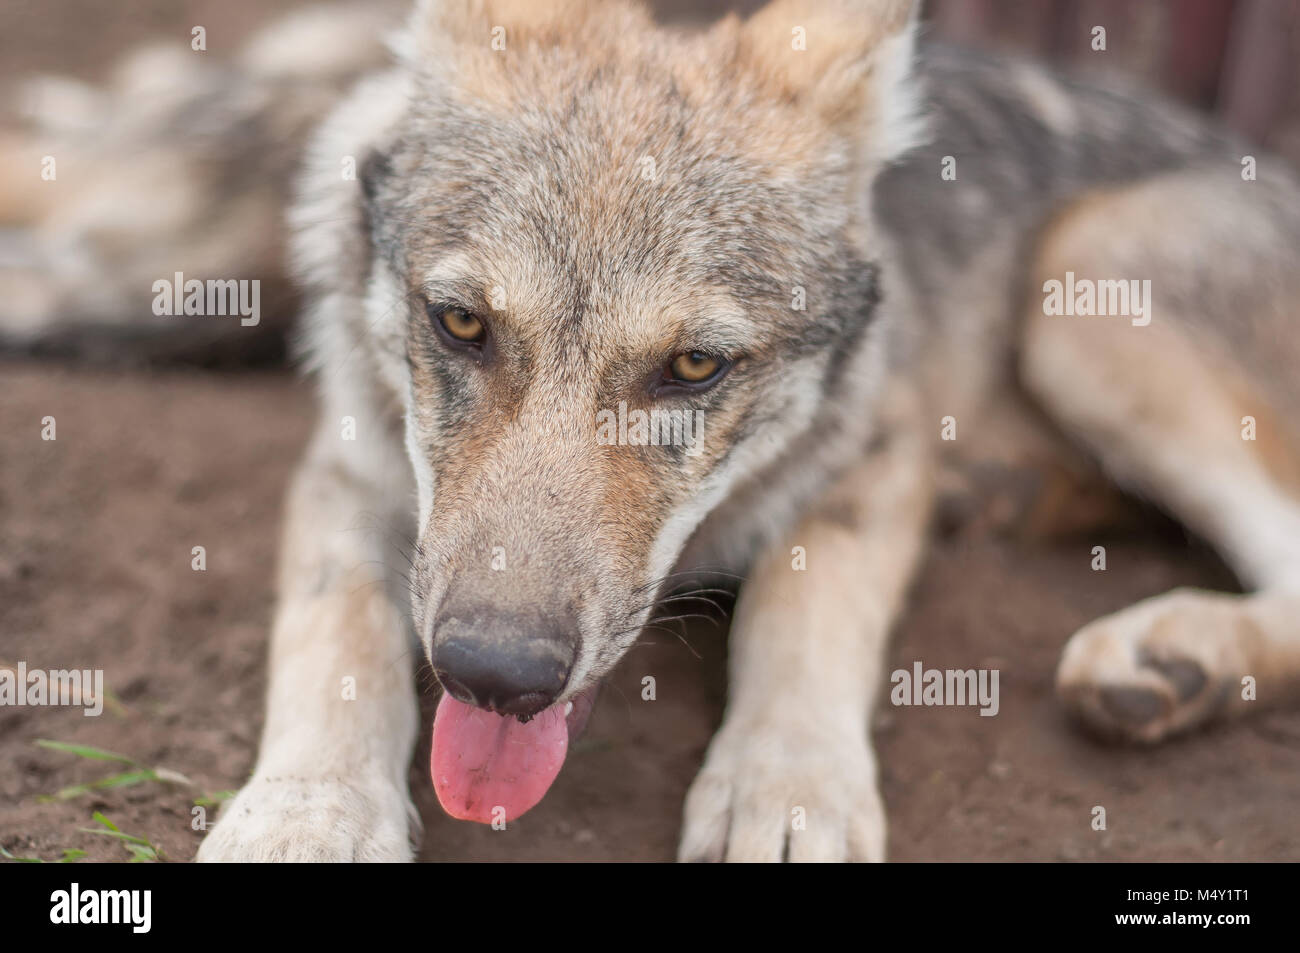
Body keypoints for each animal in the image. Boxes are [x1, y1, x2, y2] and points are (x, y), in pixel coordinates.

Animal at [186, 0, 1300, 861]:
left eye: (693, 367)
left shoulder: (878, 455)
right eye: (461, 324)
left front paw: (787, 789)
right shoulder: (347, 473)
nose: (495, 675)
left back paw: (1170, 651)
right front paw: (305, 817)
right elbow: (337, 636)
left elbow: (798, 618)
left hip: (1083, 288)